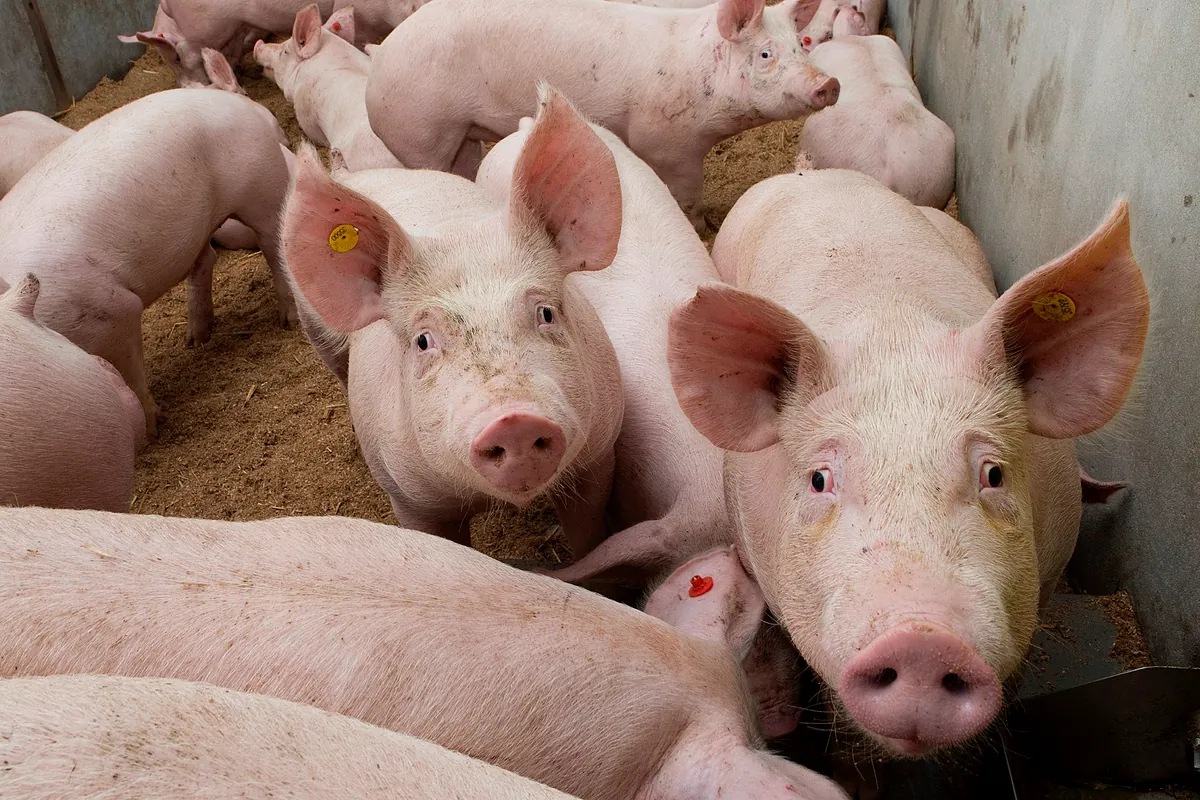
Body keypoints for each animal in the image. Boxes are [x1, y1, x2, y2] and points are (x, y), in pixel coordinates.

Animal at [0, 89, 297, 438]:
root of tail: (251, 107)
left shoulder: (106, 311)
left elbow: (128, 370)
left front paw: (152, 430)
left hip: (261, 186)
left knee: (274, 243)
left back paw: (288, 322)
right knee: (204, 260)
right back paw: (196, 340)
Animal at [279, 105, 624, 555]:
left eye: (546, 313)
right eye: (423, 340)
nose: (513, 420)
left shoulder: (599, 455)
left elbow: (589, 534)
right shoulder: (410, 498)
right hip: (316, 329)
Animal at [364, 0, 841, 231]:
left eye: (800, 45)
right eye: (765, 54)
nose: (829, 84)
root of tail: (381, 55)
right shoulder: (668, 142)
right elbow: (687, 195)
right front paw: (703, 226)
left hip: (462, 134)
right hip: (423, 133)